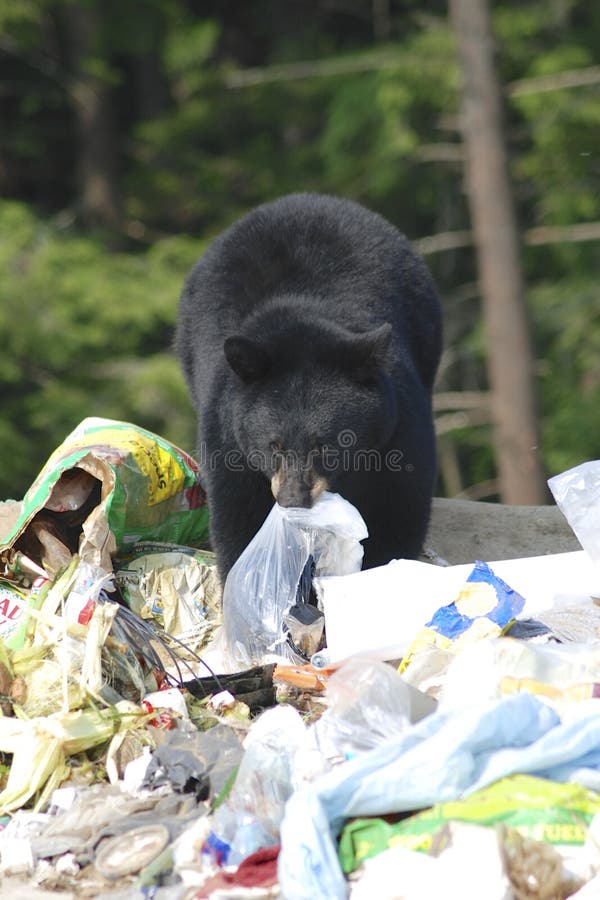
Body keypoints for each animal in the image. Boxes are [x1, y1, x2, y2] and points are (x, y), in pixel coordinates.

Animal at [175, 193, 442, 580]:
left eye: (327, 445)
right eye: (274, 445)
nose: (292, 499)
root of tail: (309, 199)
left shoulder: (398, 428)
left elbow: (398, 508)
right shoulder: (229, 433)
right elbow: (238, 514)